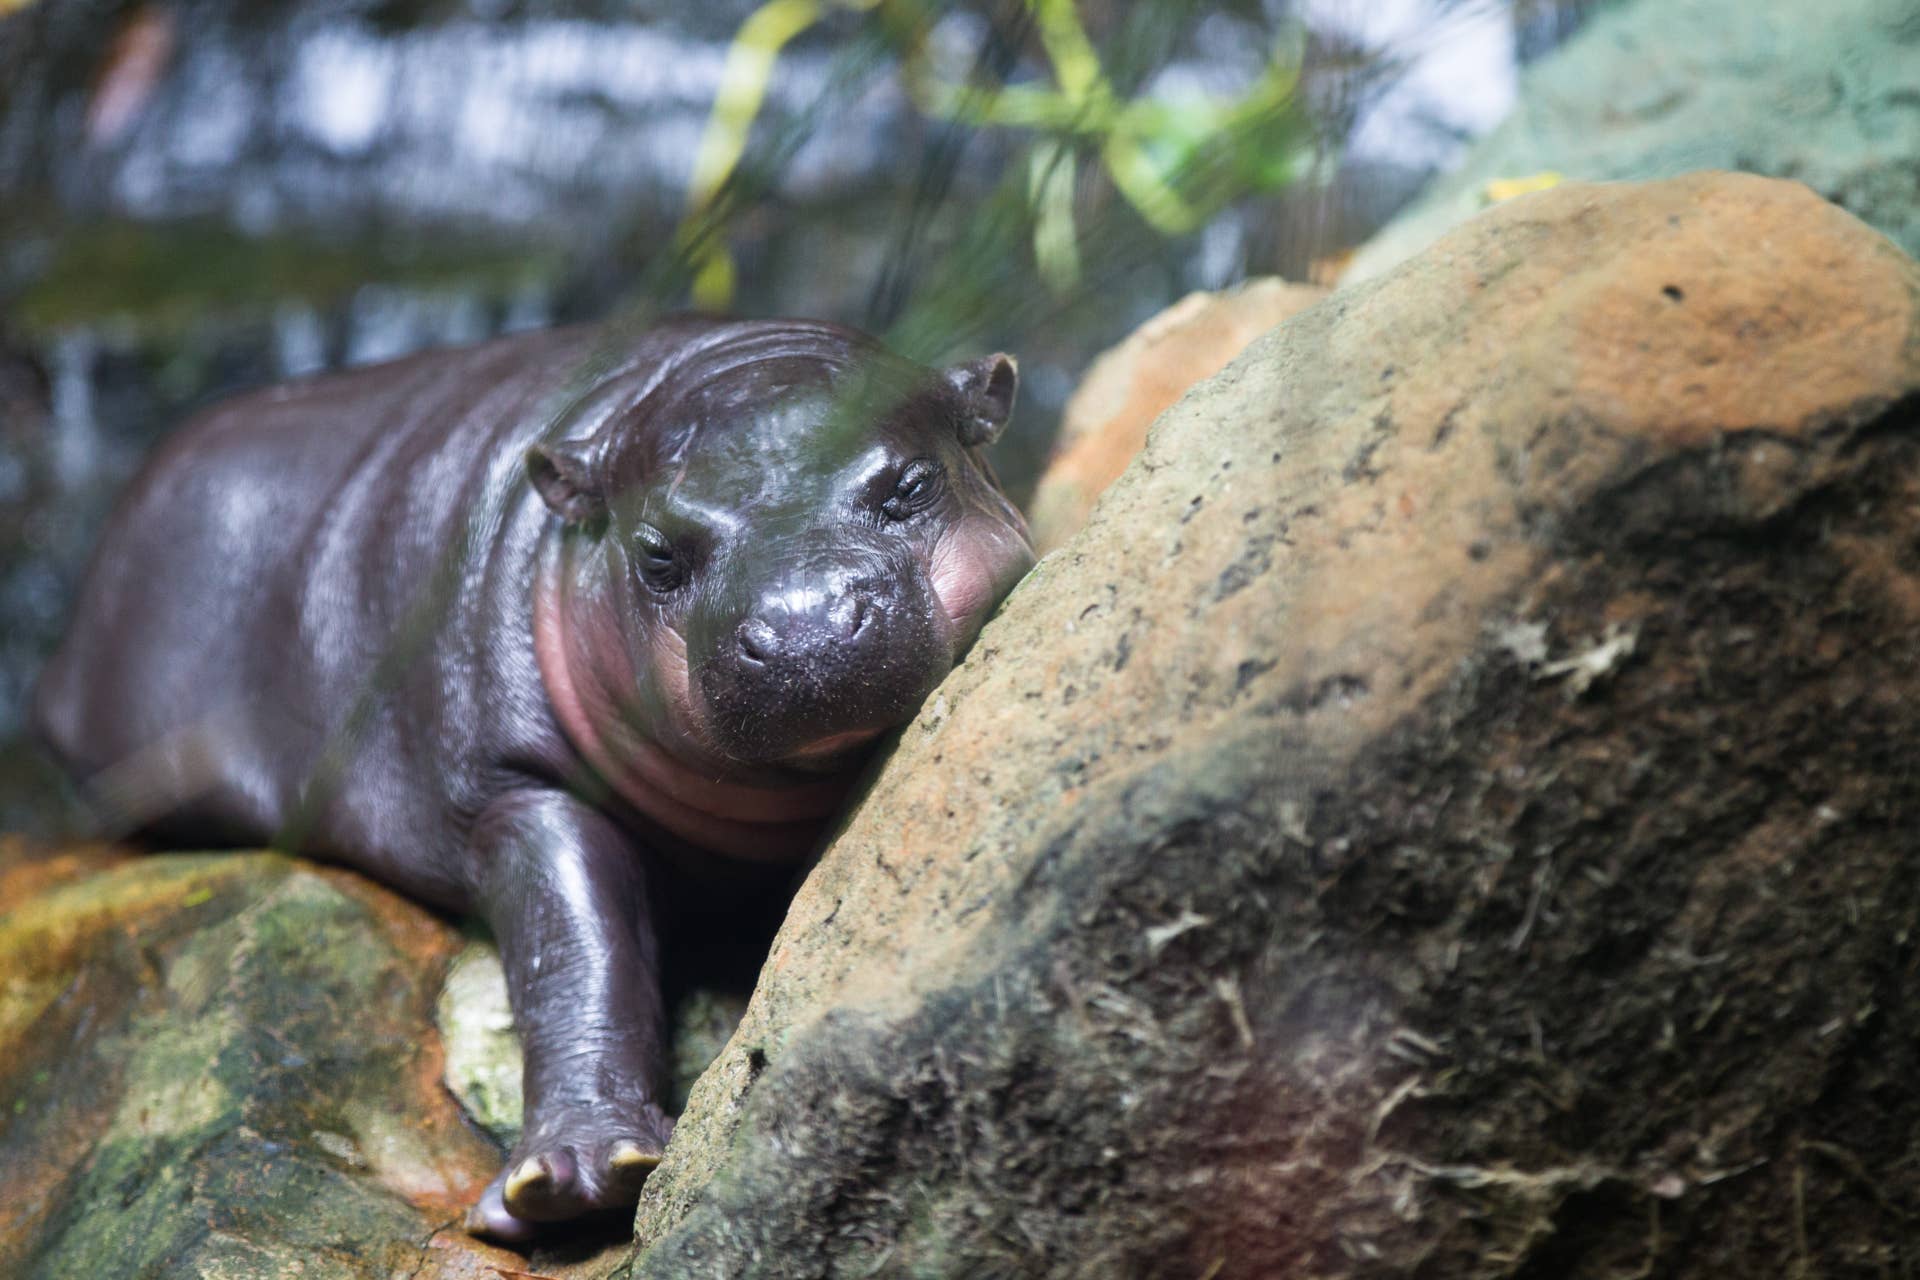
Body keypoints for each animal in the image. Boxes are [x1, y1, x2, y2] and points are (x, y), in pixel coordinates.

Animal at [32, 316, 1034, 1241]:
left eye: (912, 485)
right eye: (657, 552)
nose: (804, 624)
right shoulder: (516, 786)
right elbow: (575, 948)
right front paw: (570, 1181)